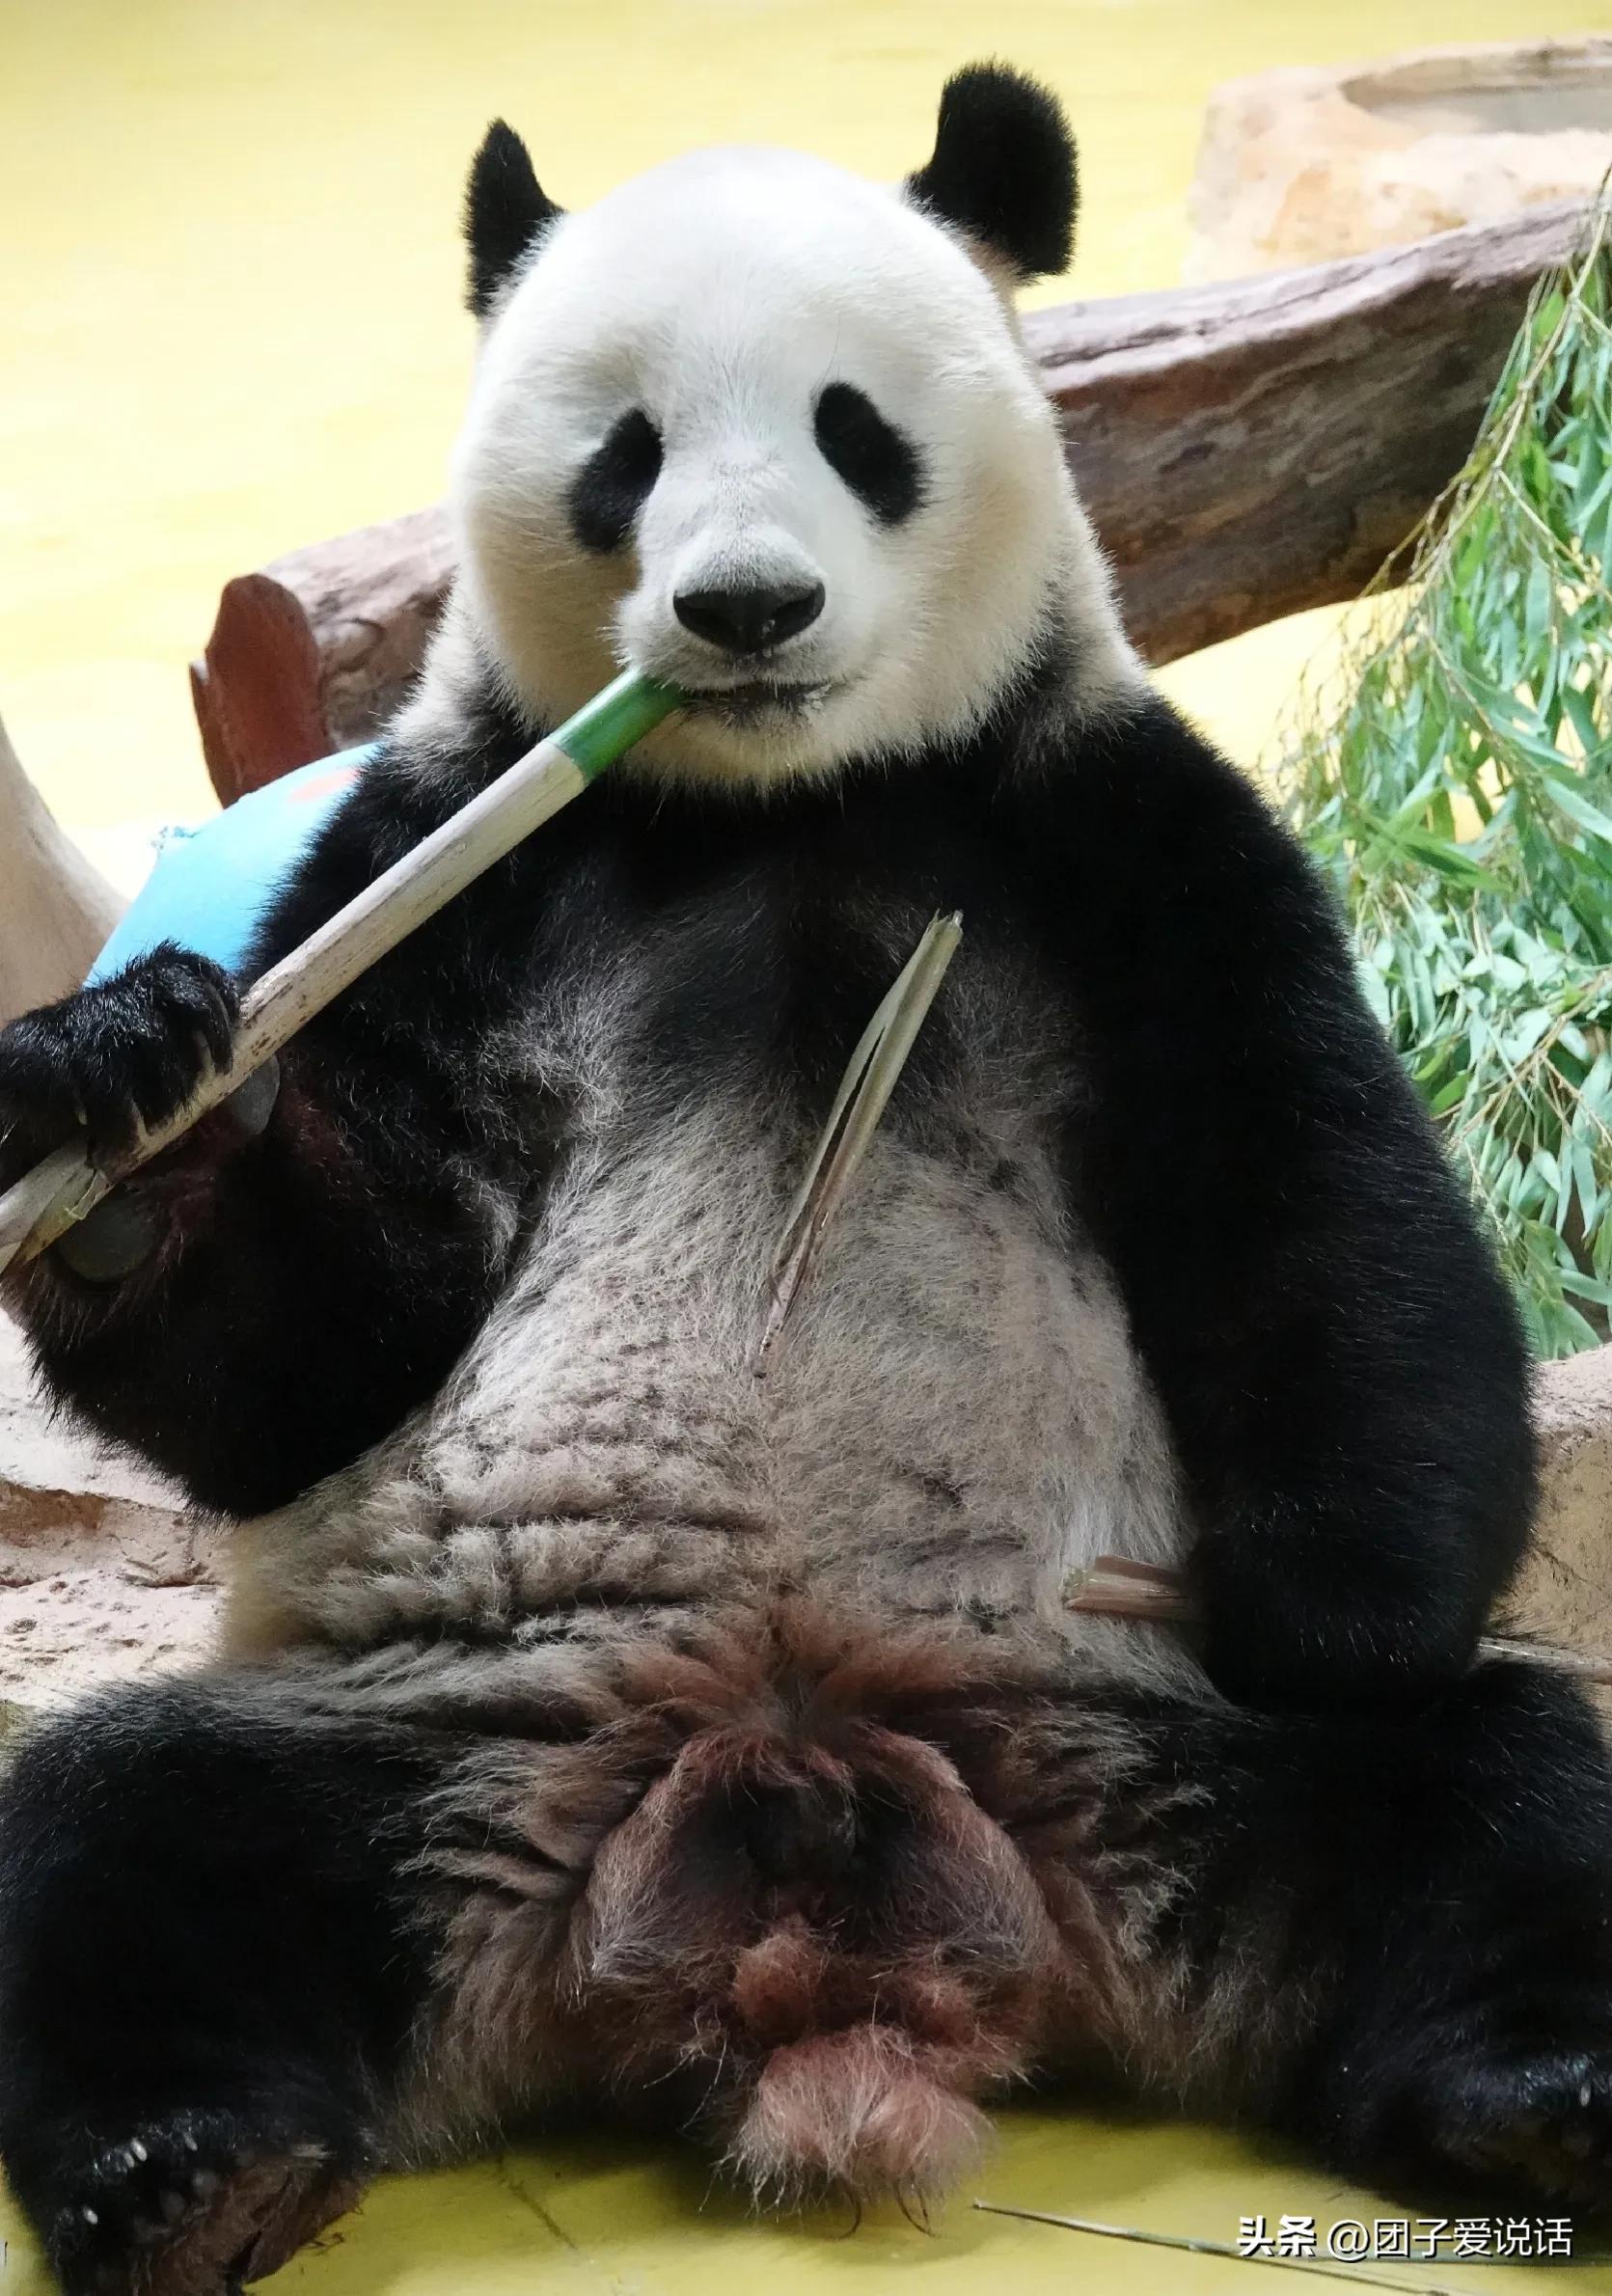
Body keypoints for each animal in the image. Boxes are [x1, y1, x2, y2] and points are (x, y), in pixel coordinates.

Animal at [1, 60, 1609, 2296]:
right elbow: (323, 1354)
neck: (777, 806)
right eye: (625, 456)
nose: (744, 608)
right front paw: (126, 1102)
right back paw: (190, 2172)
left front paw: (1336, 1611)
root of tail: (811, 1893)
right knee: (120, 1829)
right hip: (430, 1736)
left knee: (1498, 1788)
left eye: (858, 429)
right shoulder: (452, 865)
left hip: (1133, 1735)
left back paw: (1538, 2091)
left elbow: (1317, 1202)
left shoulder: (1109, 837)